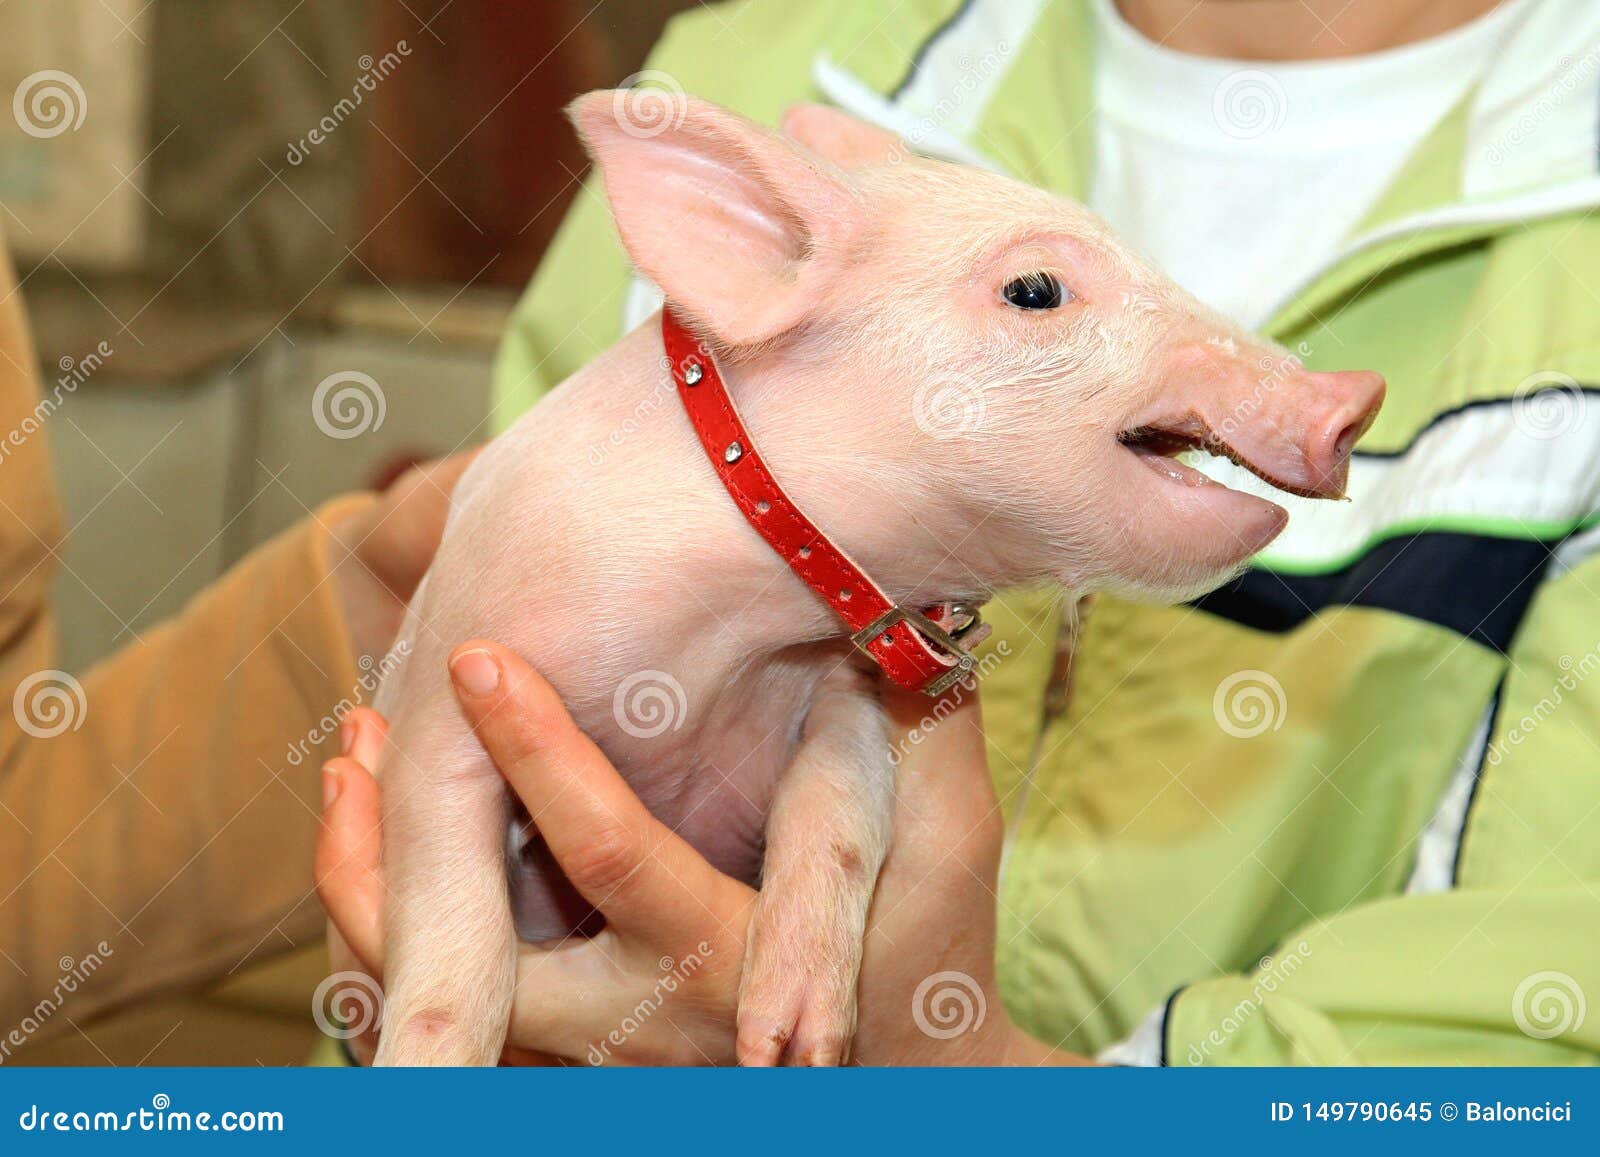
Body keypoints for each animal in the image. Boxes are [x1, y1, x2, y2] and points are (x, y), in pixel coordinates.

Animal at [365, 91, 1384, 1067]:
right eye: (1036, 289)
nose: (1357, 395)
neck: (720, 645)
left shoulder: (850, 688)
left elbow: (840, 806)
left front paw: (793, 1041)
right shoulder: (446, 681)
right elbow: (450, 921)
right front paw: (429, 1056)